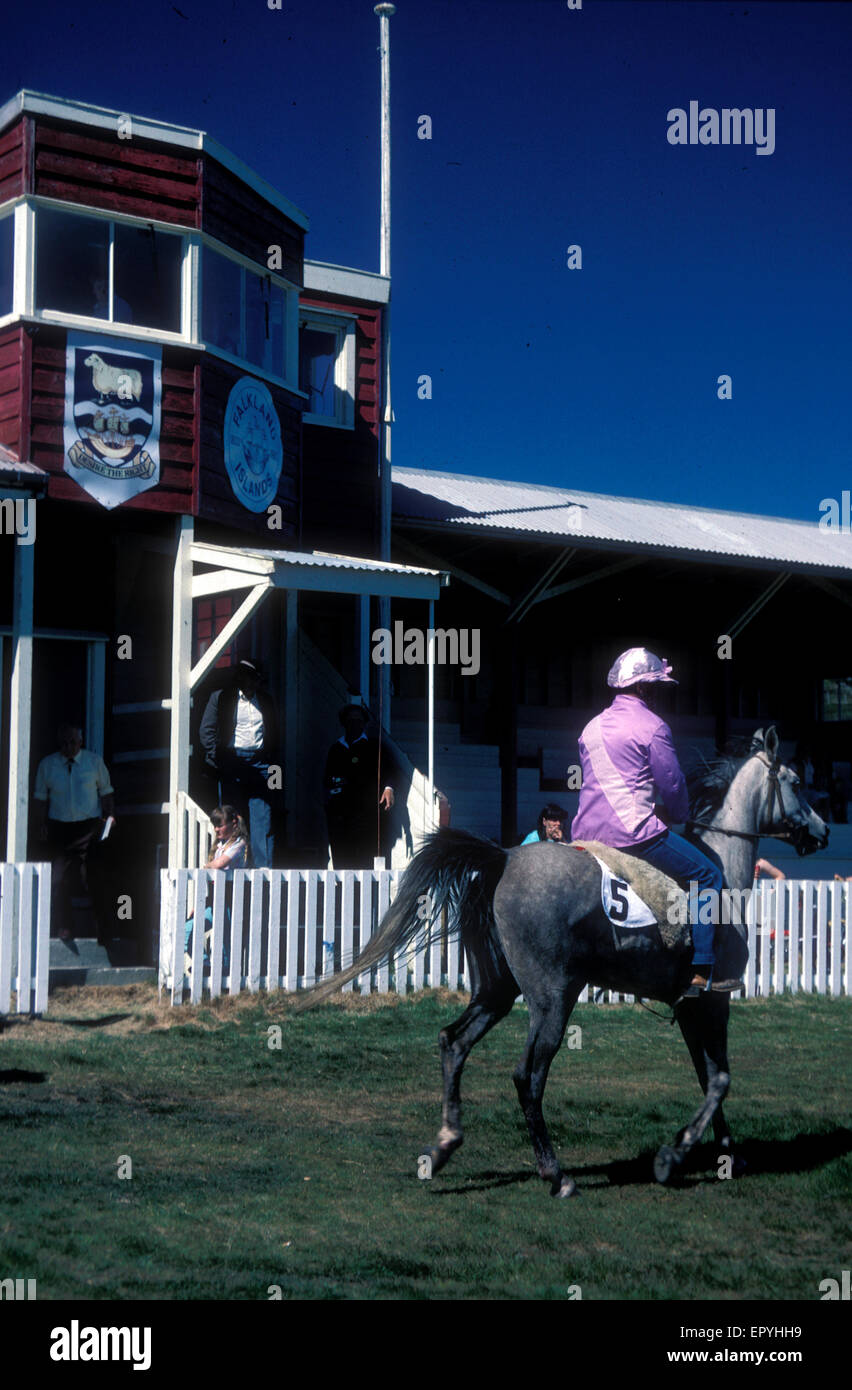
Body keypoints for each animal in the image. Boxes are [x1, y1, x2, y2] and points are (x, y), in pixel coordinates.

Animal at [293, 727, 828, 1197]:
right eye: (796, 782)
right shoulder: (714, 1001)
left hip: (498, 991)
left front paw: (726, 1152)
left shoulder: (692, 1008)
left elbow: (707, 1076)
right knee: (527, 1076)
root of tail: (505, 858)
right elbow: (720, 1080)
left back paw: (445, 1144)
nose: (822, 831)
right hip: (552, 999)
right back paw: (556, 1174)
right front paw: (673, 1155)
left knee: (453, 1042)